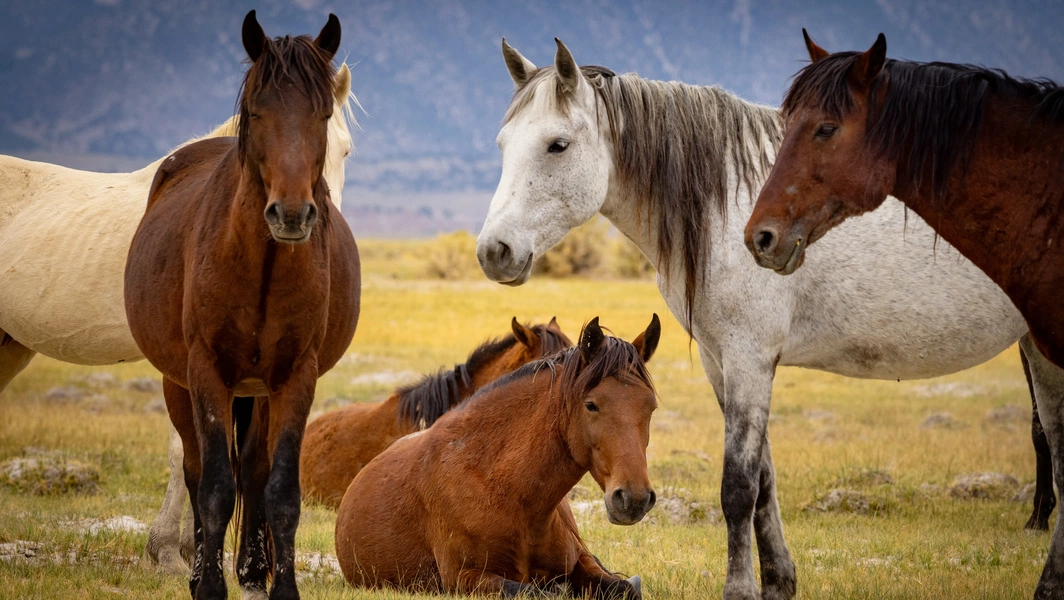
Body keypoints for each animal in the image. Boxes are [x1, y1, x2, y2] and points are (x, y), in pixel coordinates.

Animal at [124, 12, 359, 600]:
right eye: (256, 110)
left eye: (323, 114)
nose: (292, 214)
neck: (261, 270)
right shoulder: (206, 371)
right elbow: (212, 487)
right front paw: (208, 586)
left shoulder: (295, 376)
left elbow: (279, 490)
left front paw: (278, 585)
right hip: (180, 382)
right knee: (194, 467)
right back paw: (195, 571)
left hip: (258, 389)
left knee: (252, 469)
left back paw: (252, 572)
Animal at [335, 316, 658, 599]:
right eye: (591, 405)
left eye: (651, 407)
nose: (634, 498)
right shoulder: (464, 578)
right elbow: (539, 592)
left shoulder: (580, 559)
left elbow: (626, 588)